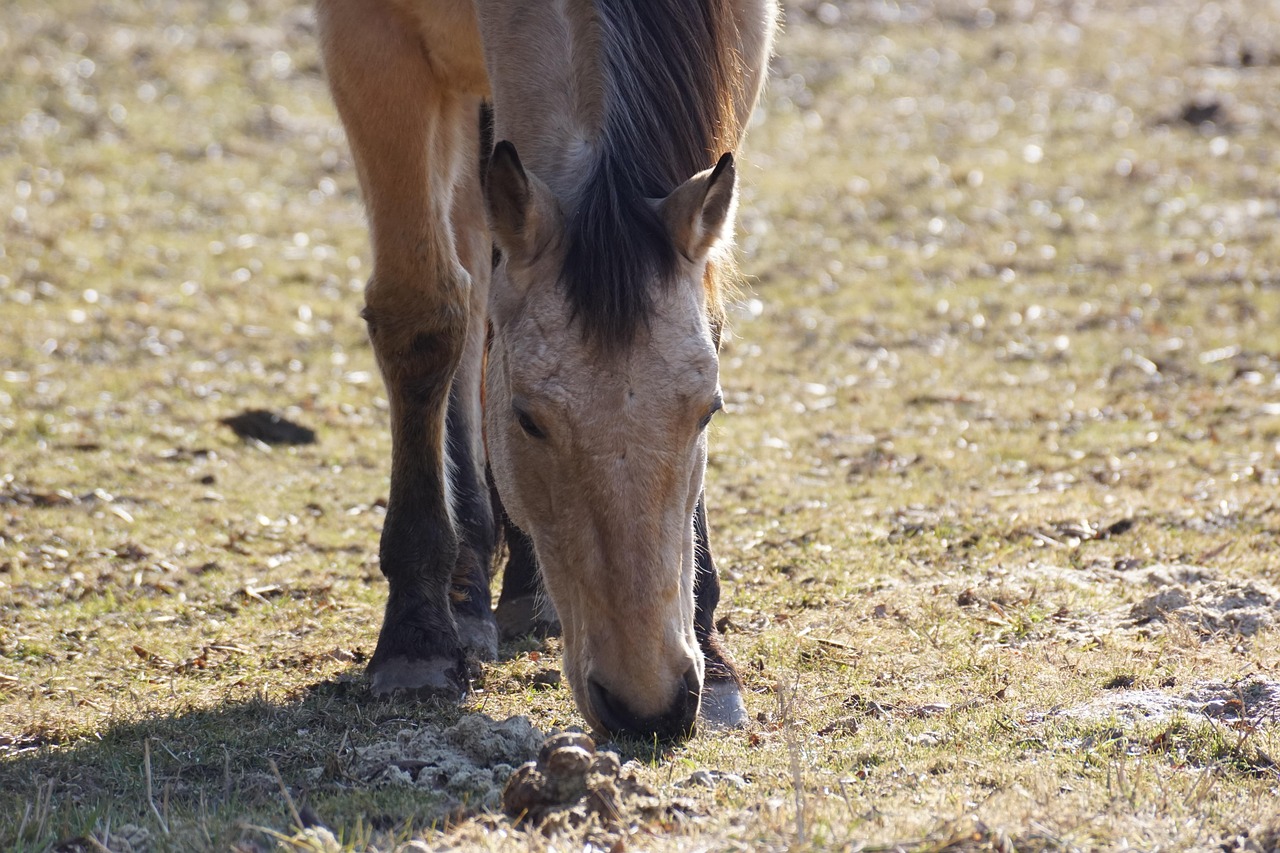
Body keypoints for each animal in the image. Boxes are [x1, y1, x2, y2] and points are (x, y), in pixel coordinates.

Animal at [315, 0, 776, 741]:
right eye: (527, 420)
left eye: (709, 411)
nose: (647, 706)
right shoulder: (371, 44)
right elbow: (423, 317)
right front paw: (416, 639)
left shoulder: (745, 34)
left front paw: (713, 650)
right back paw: (465, 595)